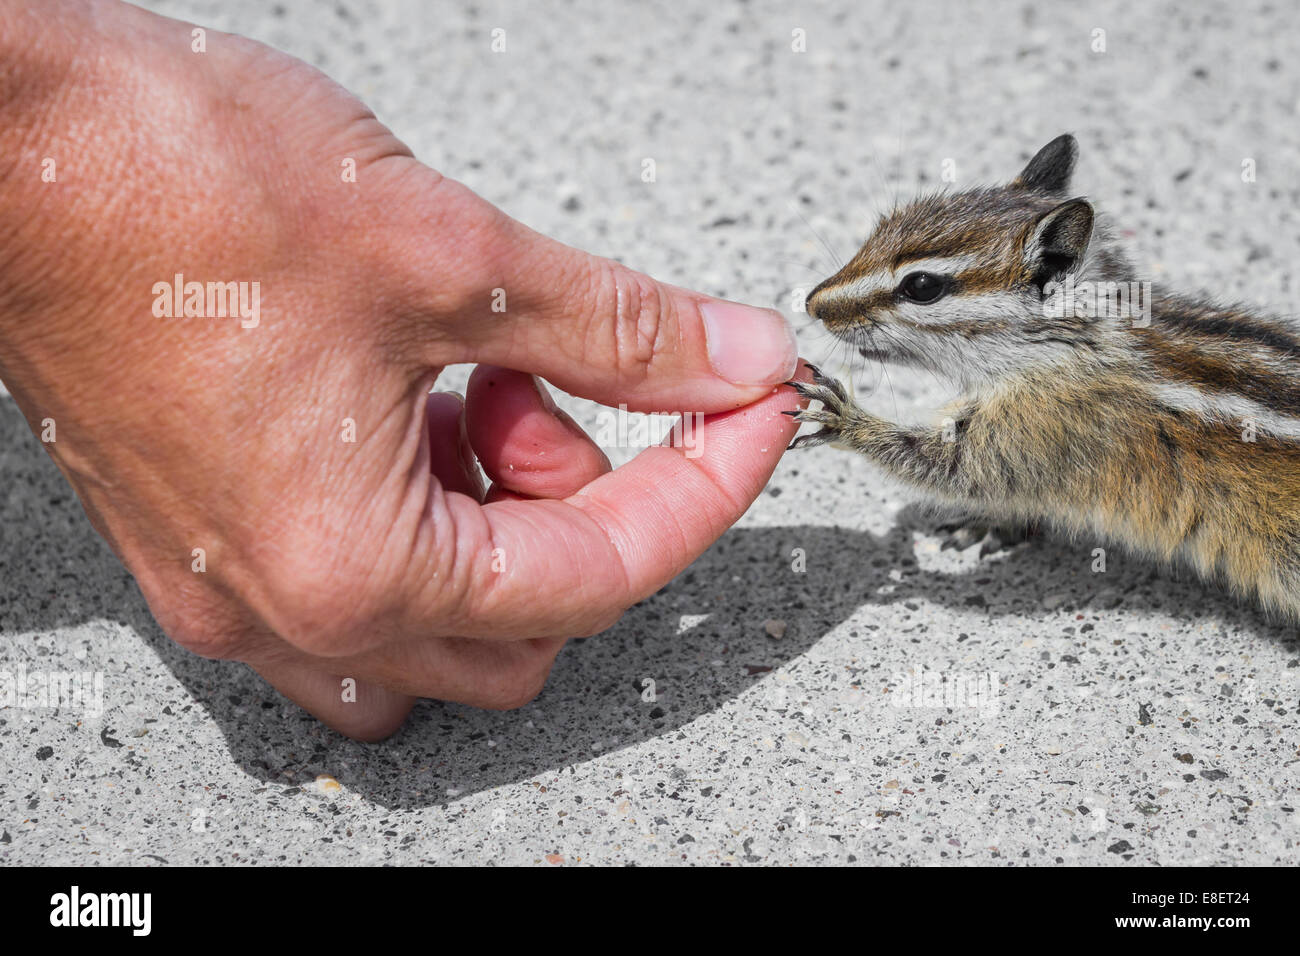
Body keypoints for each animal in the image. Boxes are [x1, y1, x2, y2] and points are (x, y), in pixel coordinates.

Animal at [786, 134, 1300, 620]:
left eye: (922, 286)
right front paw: (993, 522)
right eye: (883, 225)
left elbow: (954, 469)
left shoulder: (1038, 430)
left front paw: (846, 418)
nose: (812, 303)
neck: (1076, 346)